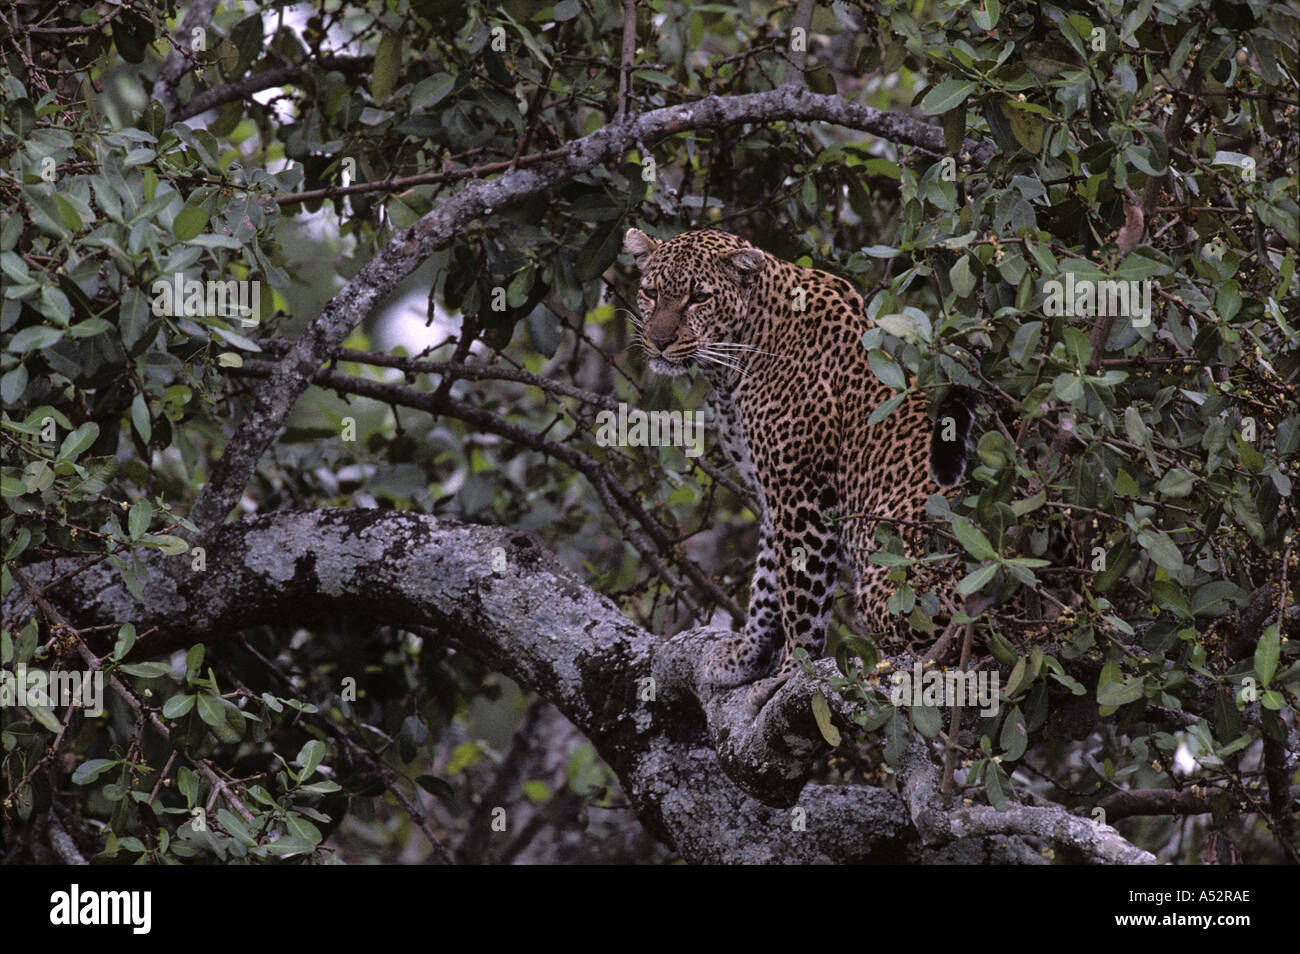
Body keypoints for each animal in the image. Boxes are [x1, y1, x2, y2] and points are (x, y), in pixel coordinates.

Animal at [624, 227, 973, 711]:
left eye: (698, 297)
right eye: (651, 292)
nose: (657, 341)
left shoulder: (799, 491)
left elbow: (798, 593)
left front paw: (792, 672)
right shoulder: (772, 492)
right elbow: (767, 582)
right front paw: (747, 657)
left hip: (893, 585)